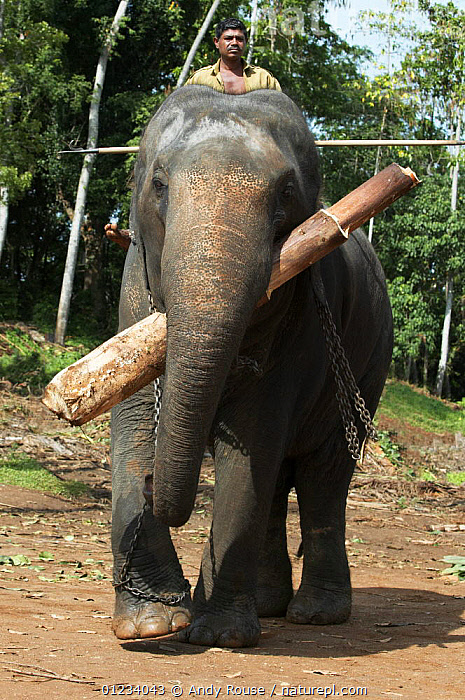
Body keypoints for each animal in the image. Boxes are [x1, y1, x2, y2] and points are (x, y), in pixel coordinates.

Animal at [110, 86, 393, 648]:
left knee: (323, 474)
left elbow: (251, 445)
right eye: (158, 185)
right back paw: (268, 605)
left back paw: (316, 614)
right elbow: (133, 433)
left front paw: (217, 634)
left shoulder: (300, 323)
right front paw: (152, 624)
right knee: (280, 477)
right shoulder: (131, 301)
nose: (156, 491)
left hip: (372, 363)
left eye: (286, 193)